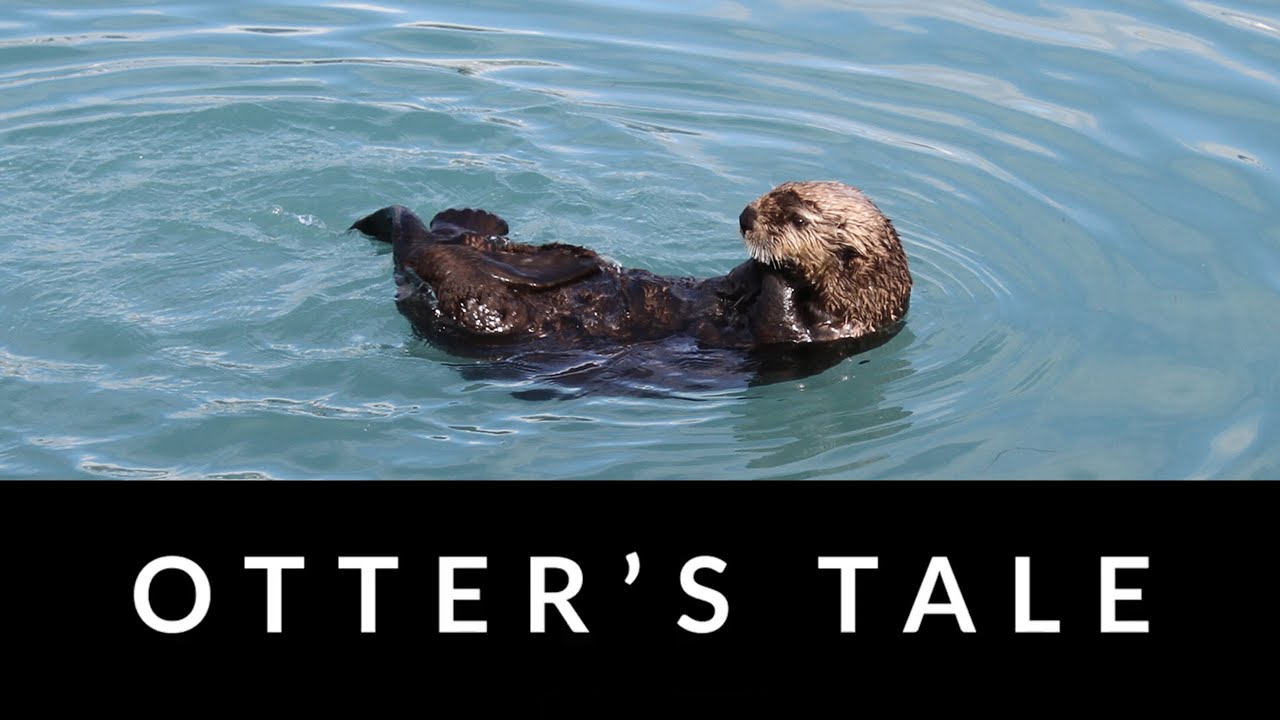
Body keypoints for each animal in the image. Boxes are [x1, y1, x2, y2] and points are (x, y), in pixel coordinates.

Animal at [350, 181, 912, 375]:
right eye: (774, 191)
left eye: (796, 218)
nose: (746, 216)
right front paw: (743, 274)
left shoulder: (813, 340)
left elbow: (780, 316)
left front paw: (774, 269)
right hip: (479, 263)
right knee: (449, 236)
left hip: (483, 309)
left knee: (437, 255)